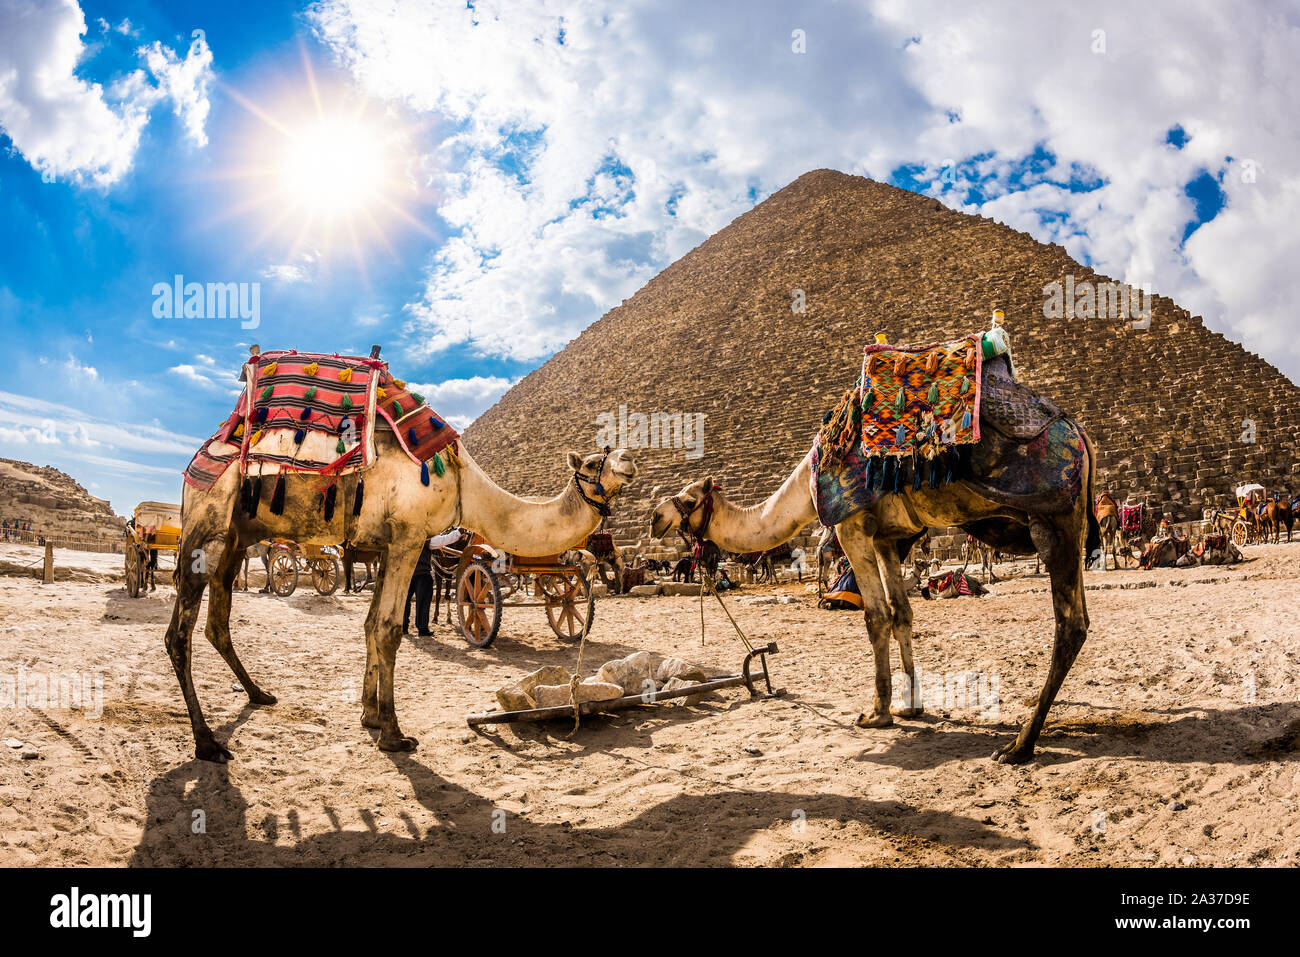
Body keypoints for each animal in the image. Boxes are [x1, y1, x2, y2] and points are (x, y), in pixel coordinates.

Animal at [165, 431, 636, 762]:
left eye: (611, 454)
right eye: (593, 461)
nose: (630, 459)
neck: (466, 488)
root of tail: (195, 460)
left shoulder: (388, 545)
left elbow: (371, 624)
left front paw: (370, 716)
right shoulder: (408, 537)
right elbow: (389, 629)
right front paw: (393, 734)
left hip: (236, 537)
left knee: (217, 623)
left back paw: (259, 695)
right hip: (206, 523)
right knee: (179, 632)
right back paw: (206, 743)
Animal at [651, 352, 1099, 764]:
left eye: (687, 500)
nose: (655, 518)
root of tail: (1080, 434)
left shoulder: (853, 527)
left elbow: (876, 616)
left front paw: (877, 713)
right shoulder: (888, 539)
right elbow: (902, 613)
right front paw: (910, 706)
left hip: (1056, 517)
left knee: (1071, 624)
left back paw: (1020, 745)